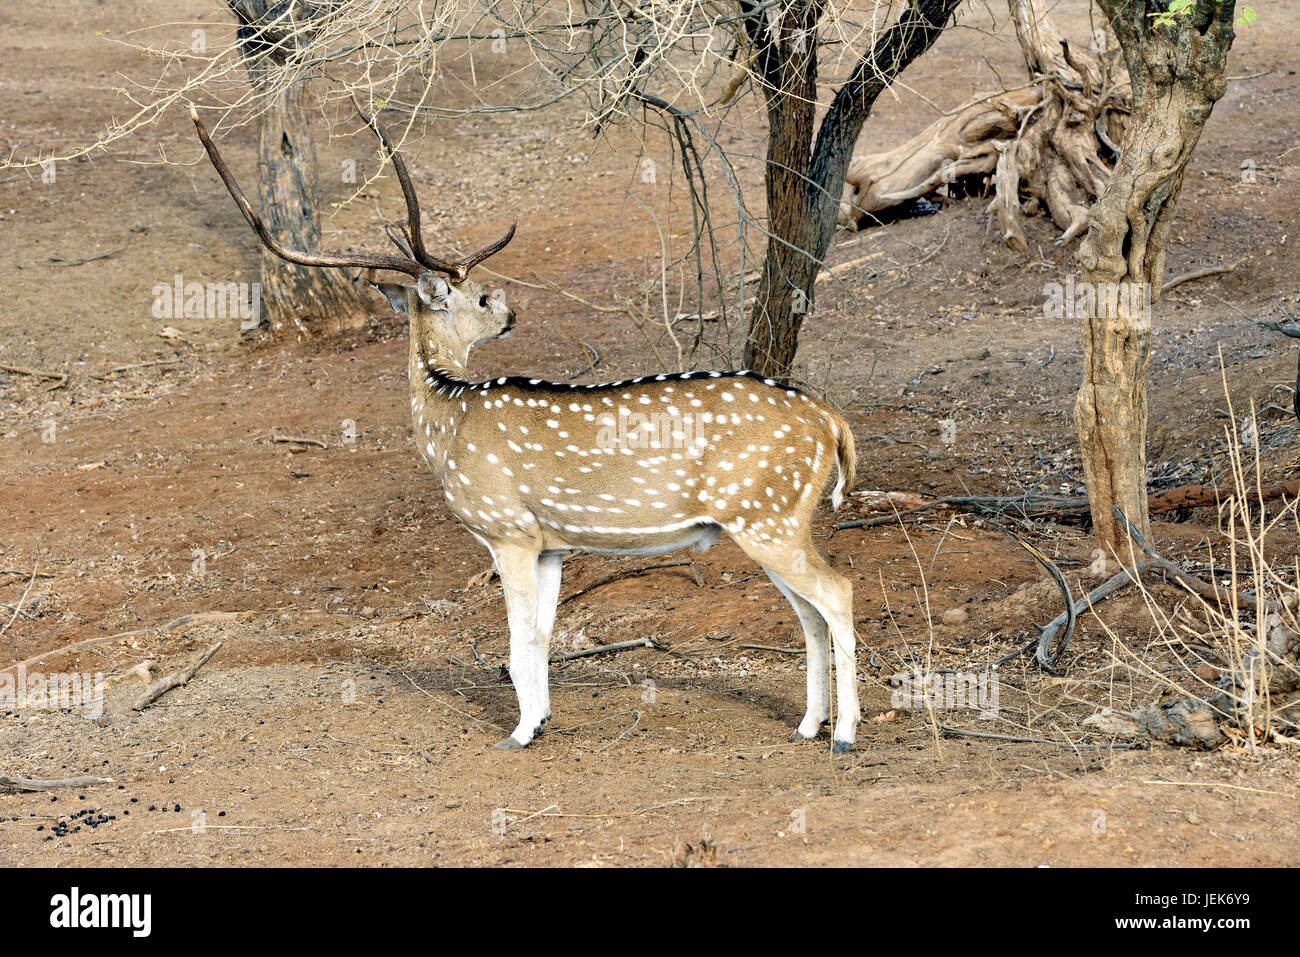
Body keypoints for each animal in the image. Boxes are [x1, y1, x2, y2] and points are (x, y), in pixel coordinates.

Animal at [189, 105, 861, 752]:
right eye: (486, 298)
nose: (512, 312)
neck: (448, 419)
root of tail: (831, 420)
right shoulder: (550, 544)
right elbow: (540, 634)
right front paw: (538, 721)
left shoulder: (506, 527)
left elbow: (516, 639)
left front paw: (517, 733)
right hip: (767, 519)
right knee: (809, 612)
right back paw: (808, 725)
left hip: (767, 514)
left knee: (838, 592)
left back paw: (845, 735)